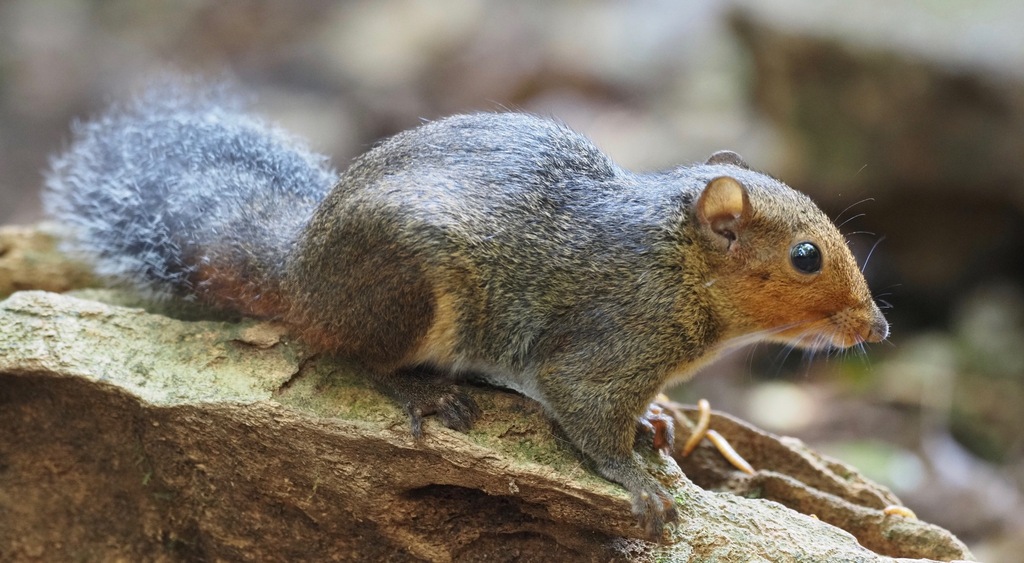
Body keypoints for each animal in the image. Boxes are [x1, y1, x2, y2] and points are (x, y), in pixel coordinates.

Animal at [43, 82, 889, 537]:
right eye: (805, 255)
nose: (875, 325)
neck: (677, 266)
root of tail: (302, 272)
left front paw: (656, 421)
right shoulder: (612, 337)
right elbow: (587, 412)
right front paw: (637, 480)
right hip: (407, 294)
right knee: (354, 357)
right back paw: (421, 391)